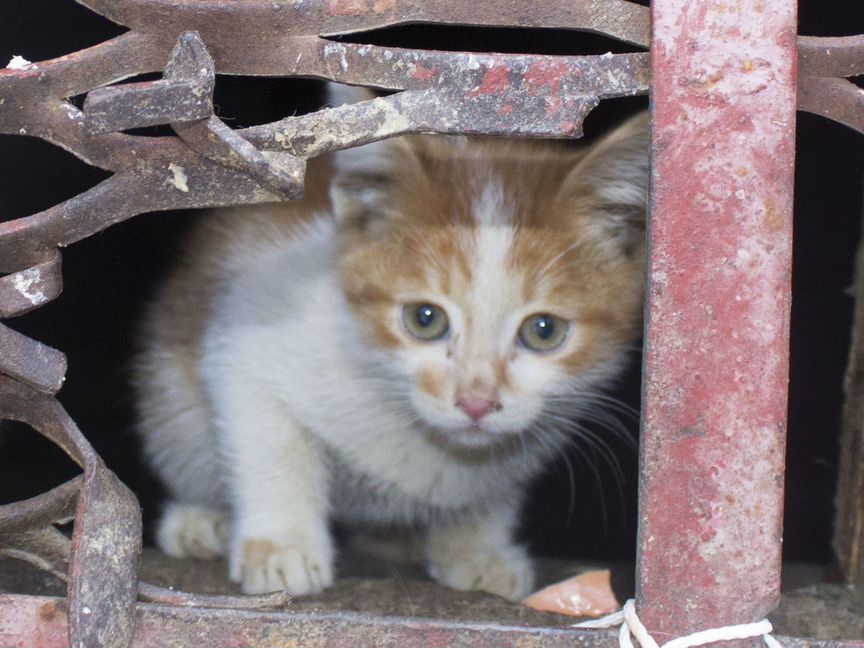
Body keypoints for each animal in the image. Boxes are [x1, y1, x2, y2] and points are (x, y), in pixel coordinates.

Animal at [135, 83, 648, 600]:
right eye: (425, 319)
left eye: (544, 331)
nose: (477, 403)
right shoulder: (249, 331)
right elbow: (272, 445)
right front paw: (282, 546)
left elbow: (493, 488)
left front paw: (476, 550)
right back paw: (200, 522)